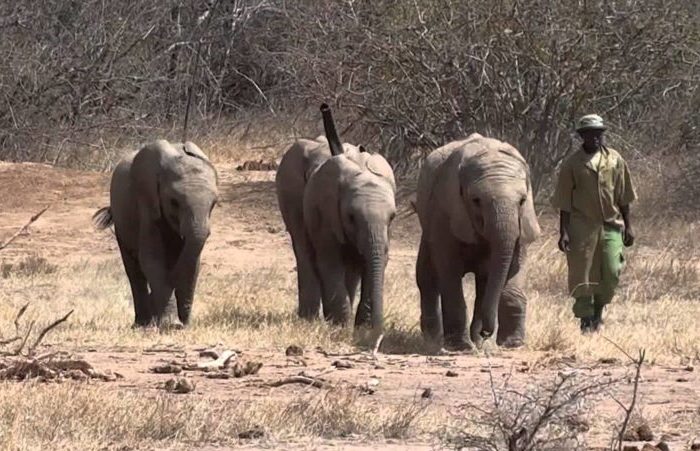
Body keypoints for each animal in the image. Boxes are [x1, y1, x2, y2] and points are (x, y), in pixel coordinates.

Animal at [93, 139, 218, 329]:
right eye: (174, 202)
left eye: (214, 203)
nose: (182, 323)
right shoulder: (146, 202)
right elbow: (152, 259)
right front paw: (171, 324)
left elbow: (194, 265)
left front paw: (183, 325)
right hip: (122, 225)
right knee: (134, 272)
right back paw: (142, 324)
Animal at [276, 104, 397, 333]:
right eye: (351, 216)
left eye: (393, 217)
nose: (378, 331)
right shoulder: (325, 212)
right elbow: (330, 260)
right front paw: (341, 327)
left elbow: (370, 261)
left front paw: (359, 328)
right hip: (288, 190)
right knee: (305, 251)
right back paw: (310, 319)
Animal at [415, 133, 540, 351]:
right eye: (476, 200)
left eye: (523, 201)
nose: (487, 332)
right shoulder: (444, 210)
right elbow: (448, 271)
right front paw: (461, 347)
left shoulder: (522, 222)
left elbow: (514, 268)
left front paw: (512, 344)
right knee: (427, 277)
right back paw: (434, 339)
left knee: (483, 280)